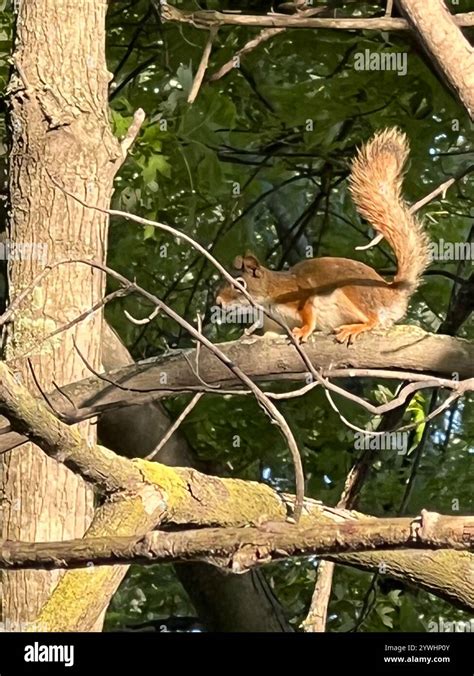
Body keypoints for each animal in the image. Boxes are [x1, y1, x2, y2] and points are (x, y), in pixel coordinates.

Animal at [215, 128, 431, 345]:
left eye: (239, 284)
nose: (217, 303)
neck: (268, 297)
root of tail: (391, 294)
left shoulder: (299, 295)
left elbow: (308, 313)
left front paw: (304, 330)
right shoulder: (275, 326)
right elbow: (269, 336)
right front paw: (254, 337)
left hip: (348, 294)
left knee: (373, 319)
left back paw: (356, 327)